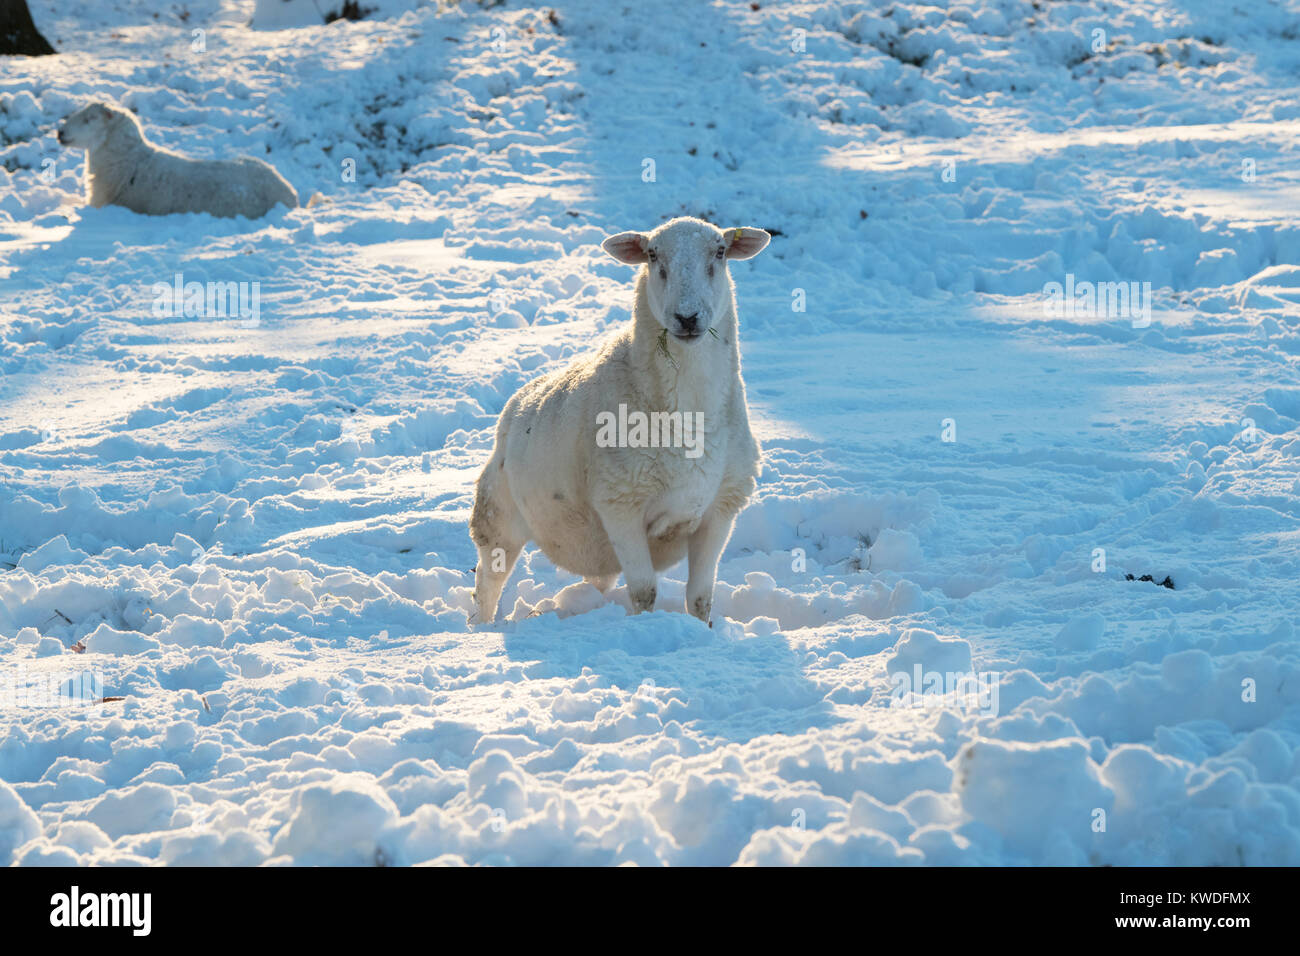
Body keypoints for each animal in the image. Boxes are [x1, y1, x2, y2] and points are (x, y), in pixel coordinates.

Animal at [470, 216, 770, 625]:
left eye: (720, 252)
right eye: (652, 255)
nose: (687, 317)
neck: (693, 417)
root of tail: (517, 401)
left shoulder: (720, 508)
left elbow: (700, 599)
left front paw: (700, 633)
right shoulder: (621, 505)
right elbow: (644, 593)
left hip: (592, 542)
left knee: (595, 578)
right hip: (496, 515)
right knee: (488, 582)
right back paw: (480, 628)